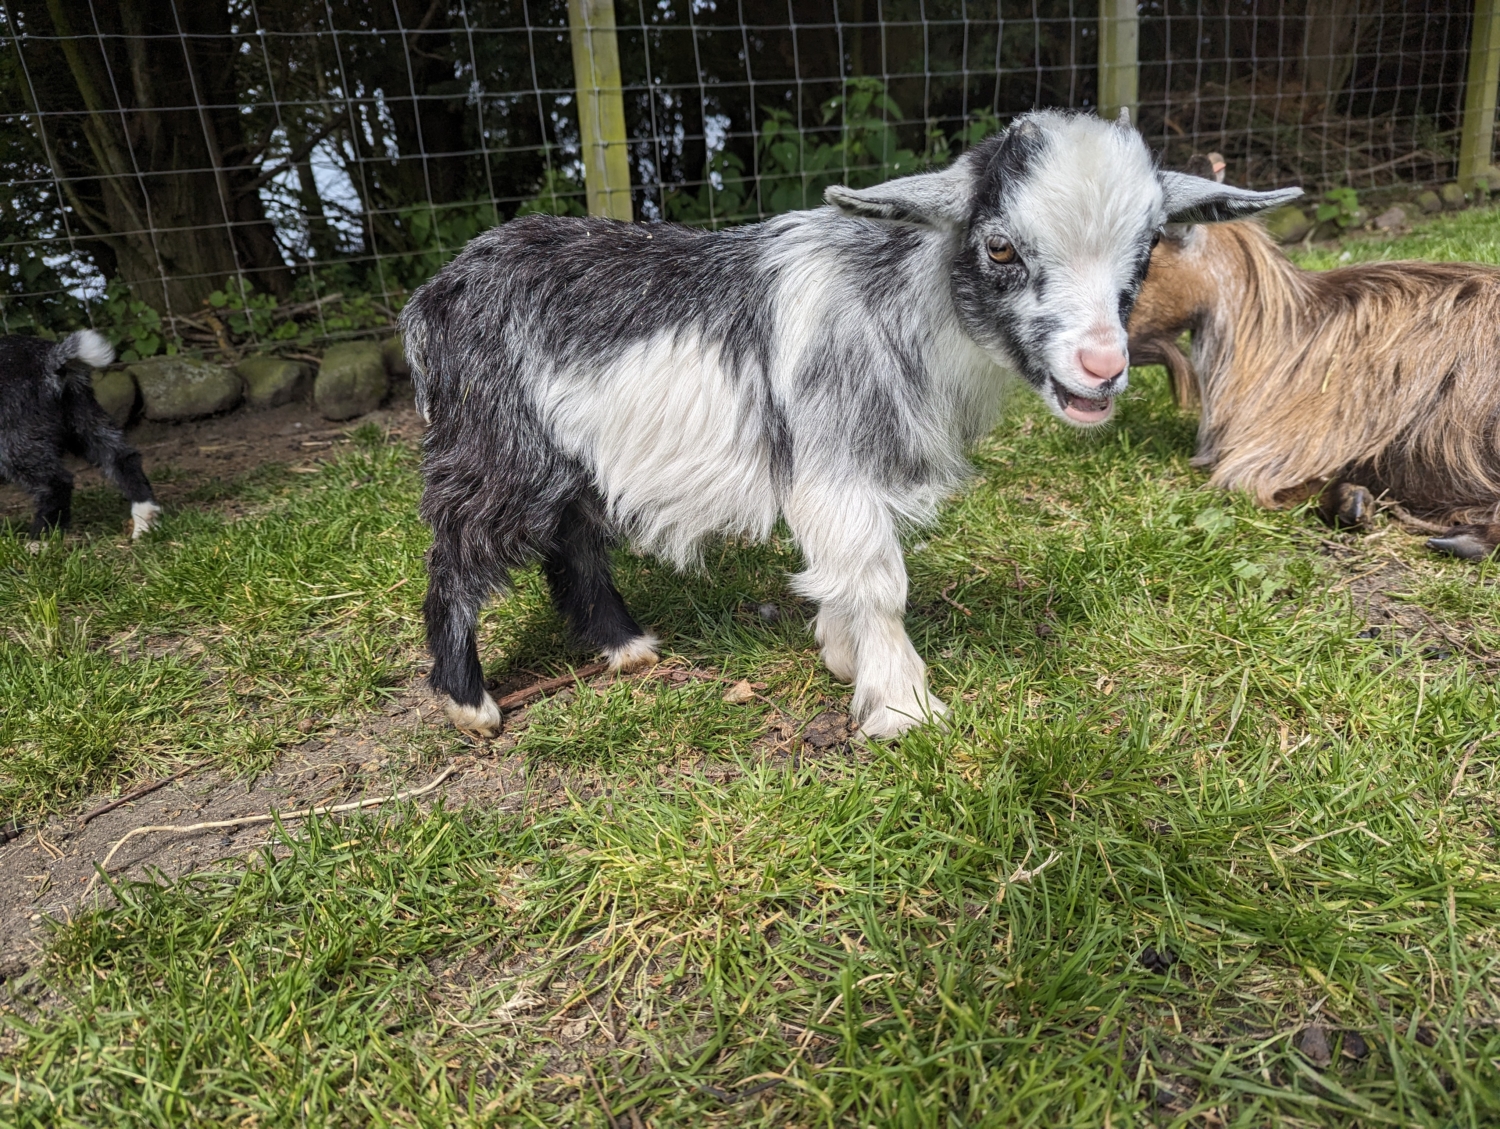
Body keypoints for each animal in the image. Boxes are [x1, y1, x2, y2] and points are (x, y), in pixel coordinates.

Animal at [0, 330, 161, 540]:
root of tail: (49, 360)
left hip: (14, 441)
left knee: (57, 483)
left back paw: (41, 538)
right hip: (83, 419)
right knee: (122, 458)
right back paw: (144, 521)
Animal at [401, 110, 1297, 738]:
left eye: (1147, 247)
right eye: (1001, 248)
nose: (1102, 369)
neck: (909, 305)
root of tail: (433, 298)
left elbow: (844, 572)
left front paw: (839, 652)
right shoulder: (833, 459)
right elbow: (878, 580)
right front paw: (902, 705)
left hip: (572, 457)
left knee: (574, 538)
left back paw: (625, 645)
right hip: (496, 449)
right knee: (458, 557)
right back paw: (470, 701)